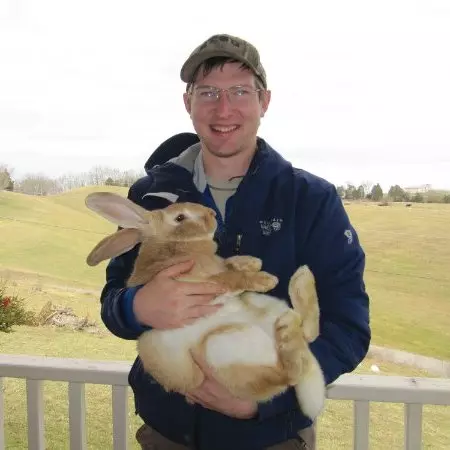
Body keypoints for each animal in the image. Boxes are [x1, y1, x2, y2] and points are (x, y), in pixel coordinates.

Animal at [84, 192, 326, 420]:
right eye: (180, 217)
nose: (211, 214)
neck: (176, 246)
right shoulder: (202, 285)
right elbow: (230, 278)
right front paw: (265, 279)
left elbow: (229, 264)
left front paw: (252, 262)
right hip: (219, 346)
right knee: (290, 372)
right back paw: (289, 317)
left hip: (264, 306)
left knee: (307, 333)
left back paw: (301, 283)